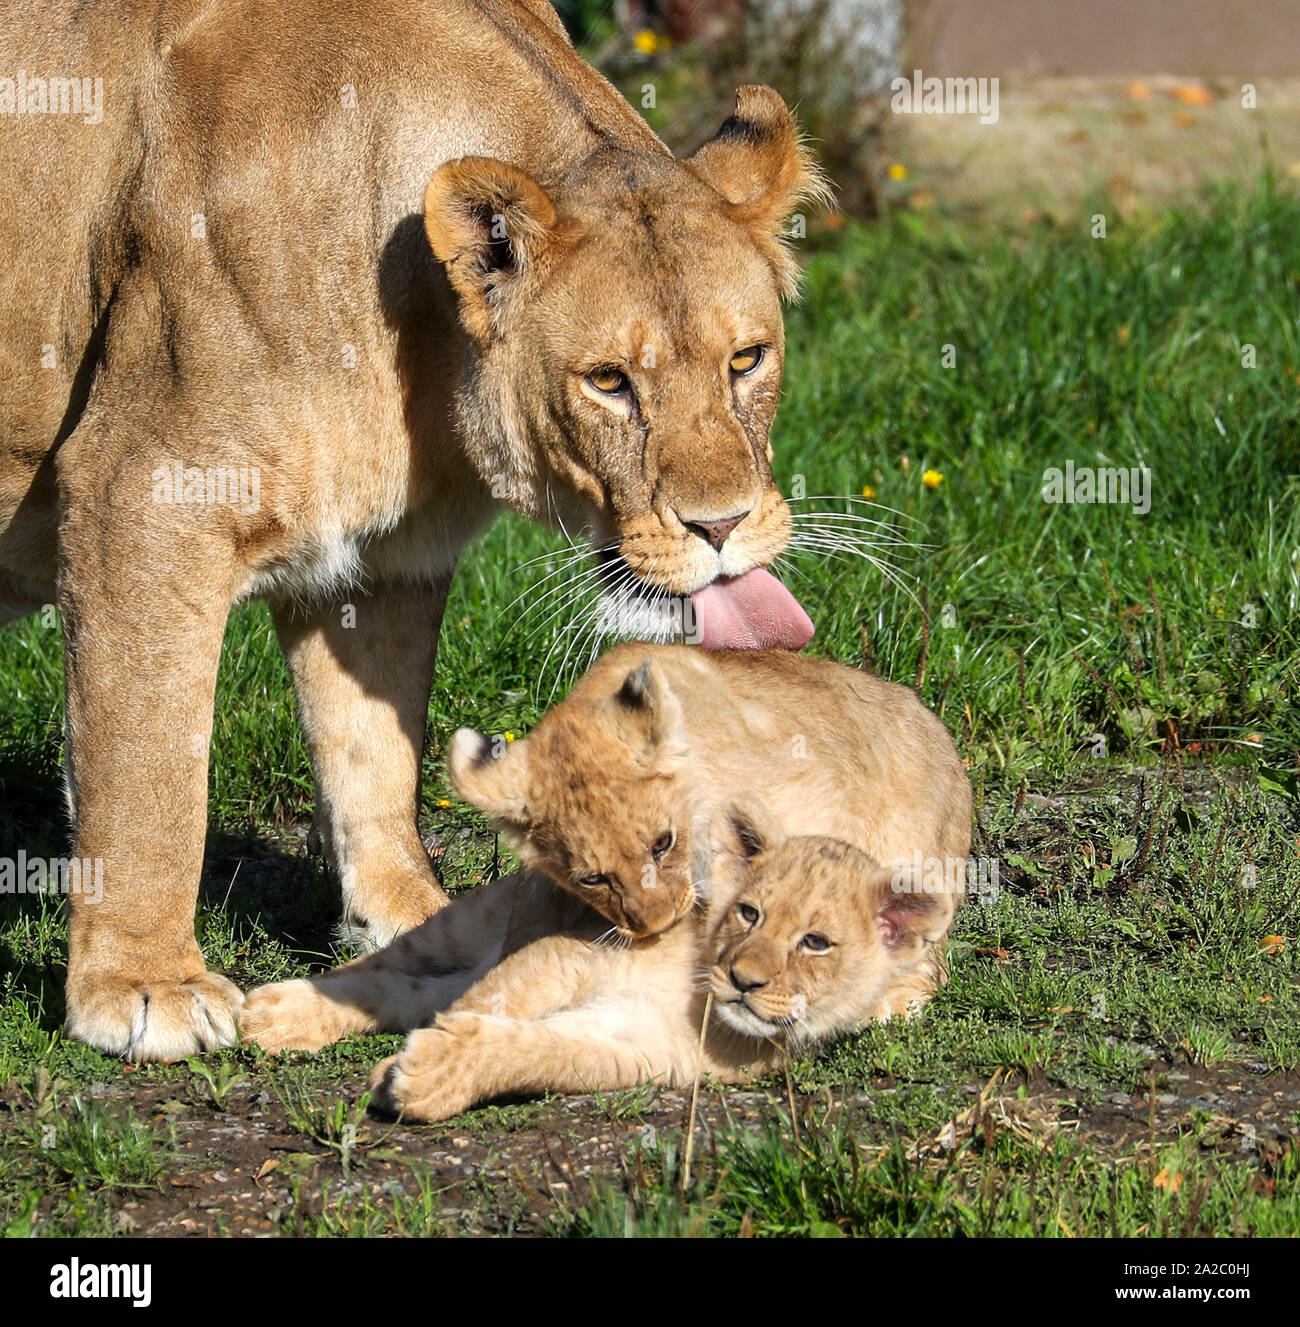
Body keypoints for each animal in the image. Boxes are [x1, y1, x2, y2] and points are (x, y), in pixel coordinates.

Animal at [0, 1, 827, 1059]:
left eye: (747, 359)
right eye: (608, 381)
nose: (721, 526)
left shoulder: (381, 559)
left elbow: (373, 752)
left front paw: (415, 924)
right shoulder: (138, 493)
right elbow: (150, 767)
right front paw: (144, 986)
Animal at [241, 803, 950, 1122]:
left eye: (816, 943)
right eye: (749, 914)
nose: (744, 980)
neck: (701, 1006)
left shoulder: (631, 1046)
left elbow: (529, 1051)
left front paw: (432, 1078)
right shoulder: (574, 952)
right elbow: (487, 1005)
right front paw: (402, 1067)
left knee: (414, 993)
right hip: (463, 924)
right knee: (380, 971)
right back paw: (273, 1012)